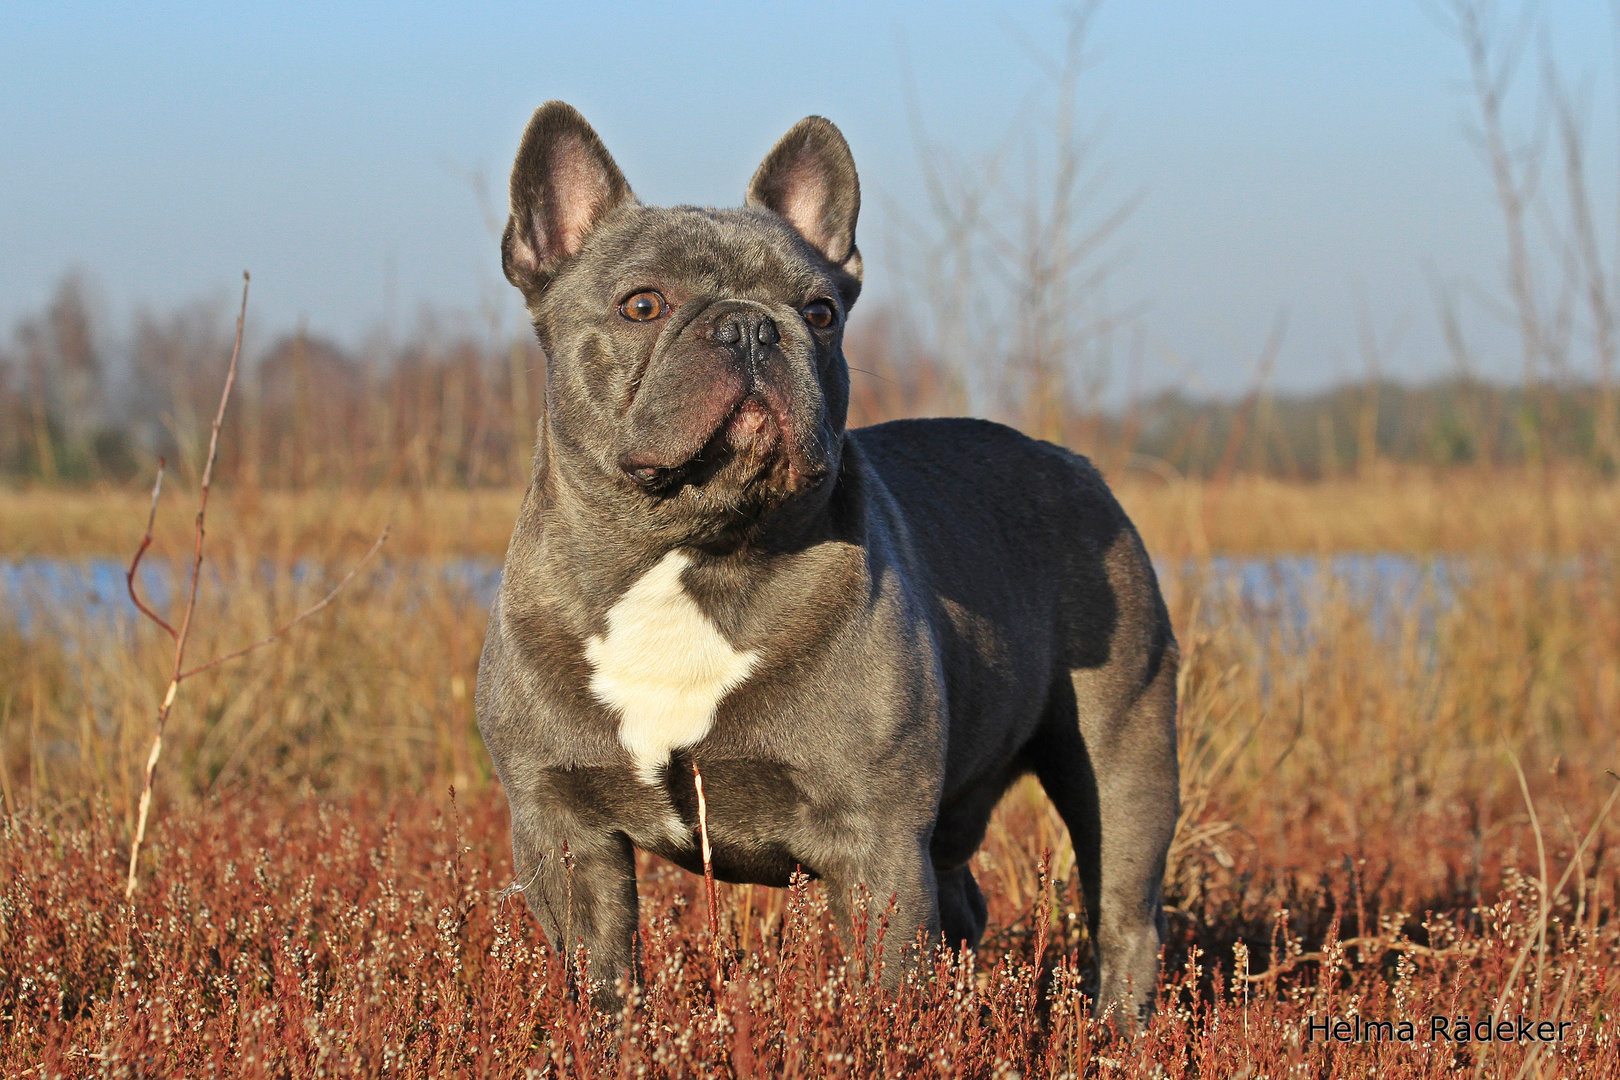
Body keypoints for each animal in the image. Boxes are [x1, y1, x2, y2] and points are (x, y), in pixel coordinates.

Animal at [473, 101, 1179, 1023]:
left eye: (819, 313)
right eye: (642, 304)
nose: (749, 324)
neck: (693, 552)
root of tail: (1079, 468)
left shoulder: (874, 838)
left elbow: (886, 980)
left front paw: (886, 1038)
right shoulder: (563, 828)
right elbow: (604, 981)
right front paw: (611, 1036)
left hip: (1123, 761)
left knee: (1125, 917)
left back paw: (1113, 1031)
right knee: (964, 902)